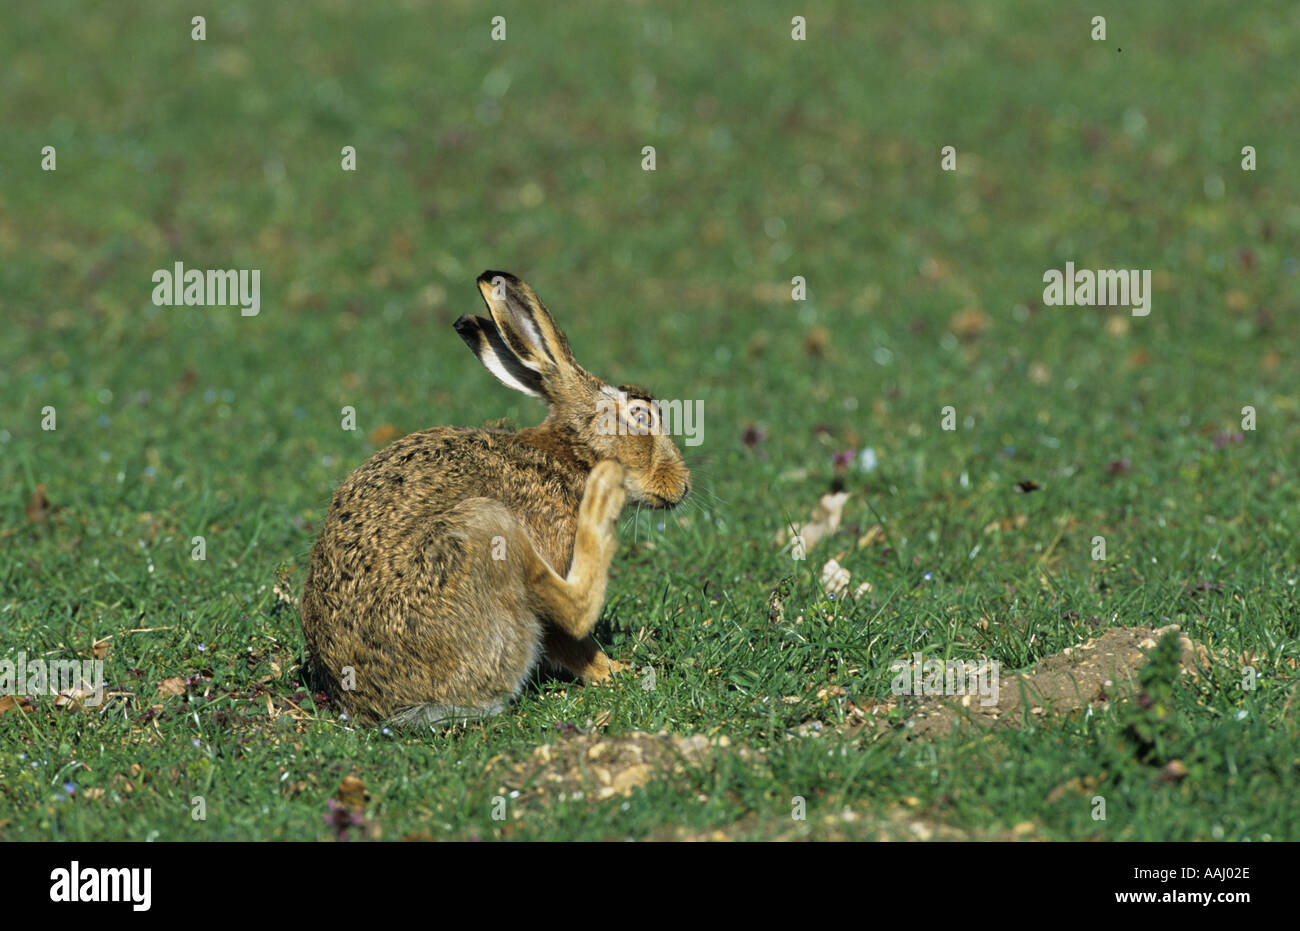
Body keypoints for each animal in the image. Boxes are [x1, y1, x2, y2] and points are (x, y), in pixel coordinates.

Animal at [300, 271, 691, 727]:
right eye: (641, 415)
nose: (681, 486)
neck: (573, 455)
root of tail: (380, 704)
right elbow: (571, 636)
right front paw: (615, 672)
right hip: (484, 526)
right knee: (573, 608)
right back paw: (603, 499)